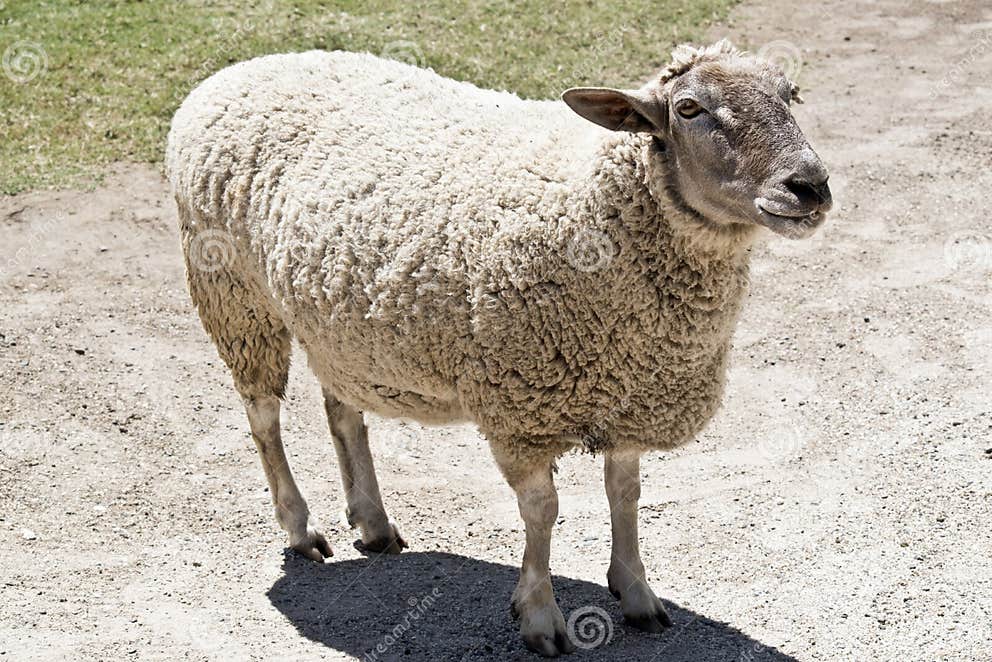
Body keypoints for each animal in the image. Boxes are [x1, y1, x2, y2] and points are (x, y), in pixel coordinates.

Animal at [165, 39, 832, 656]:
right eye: (690, 108)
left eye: (791, 95)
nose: (811, 186)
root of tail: (241, 68)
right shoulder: (522, 408)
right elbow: (542, 512)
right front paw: (540, 617)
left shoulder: (630, 395)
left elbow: (625, 496)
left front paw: (637, 593)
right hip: (235, 294)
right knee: (263, 417)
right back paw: (298, 528)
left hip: (339, 324)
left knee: (341, 410)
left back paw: (374, 522)